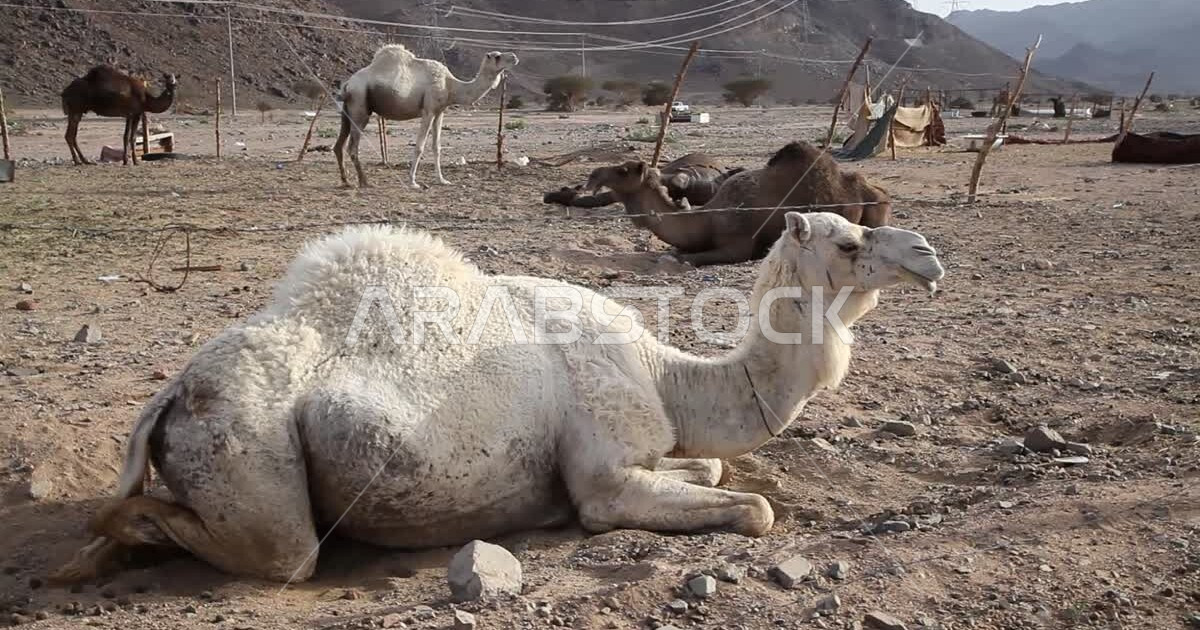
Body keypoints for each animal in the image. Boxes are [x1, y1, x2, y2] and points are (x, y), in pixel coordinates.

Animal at [53, 212, 943, 583]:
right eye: (849, 241)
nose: (930, 256)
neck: (664, 372)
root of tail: (171, 394)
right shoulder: (604, 479)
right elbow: (751, 508)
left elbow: (717, 474)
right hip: (246, 457)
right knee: (277, 552)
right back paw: (96, 548)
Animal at [334, 45, 518, 188]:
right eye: (497, 56)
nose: (514, 57)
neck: (451, 85)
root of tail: (347, 85)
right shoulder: (428, 110)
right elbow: (420, 146)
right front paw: (412, 181)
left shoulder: (440, 112)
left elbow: (437, 147)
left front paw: (442, 180)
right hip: (360, 106)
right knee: (352, 147)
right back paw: (364, 182)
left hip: (347, 111)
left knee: (338, 145)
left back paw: (346, 181)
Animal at [585, 140, 893, 266]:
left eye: (623, 170)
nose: (593, 174)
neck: (707, 219)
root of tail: (880, 193)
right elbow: (678, 249)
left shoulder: (738, 246)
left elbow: (686, 257)